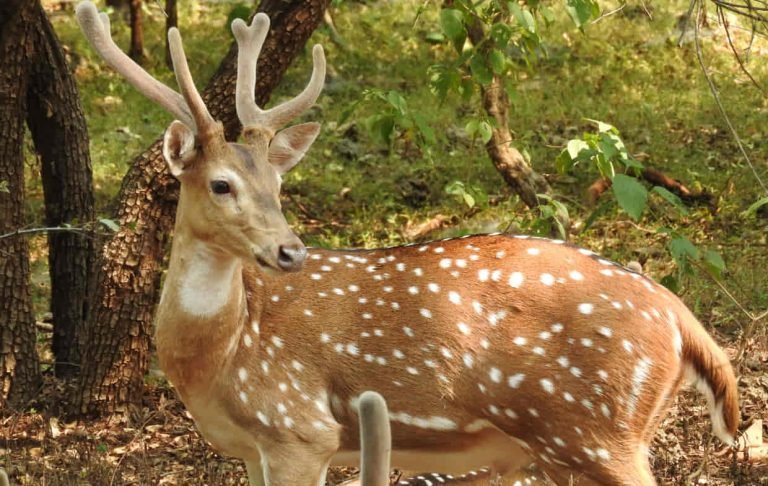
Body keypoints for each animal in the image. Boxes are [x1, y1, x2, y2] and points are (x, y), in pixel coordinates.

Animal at [76, 2, 739, 485]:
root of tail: (681, 320)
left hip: (600, 433)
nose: (291, 251)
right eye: (222, 184)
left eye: (279, 183)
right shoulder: (251, 447)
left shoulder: (298, 427)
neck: (217, 359)